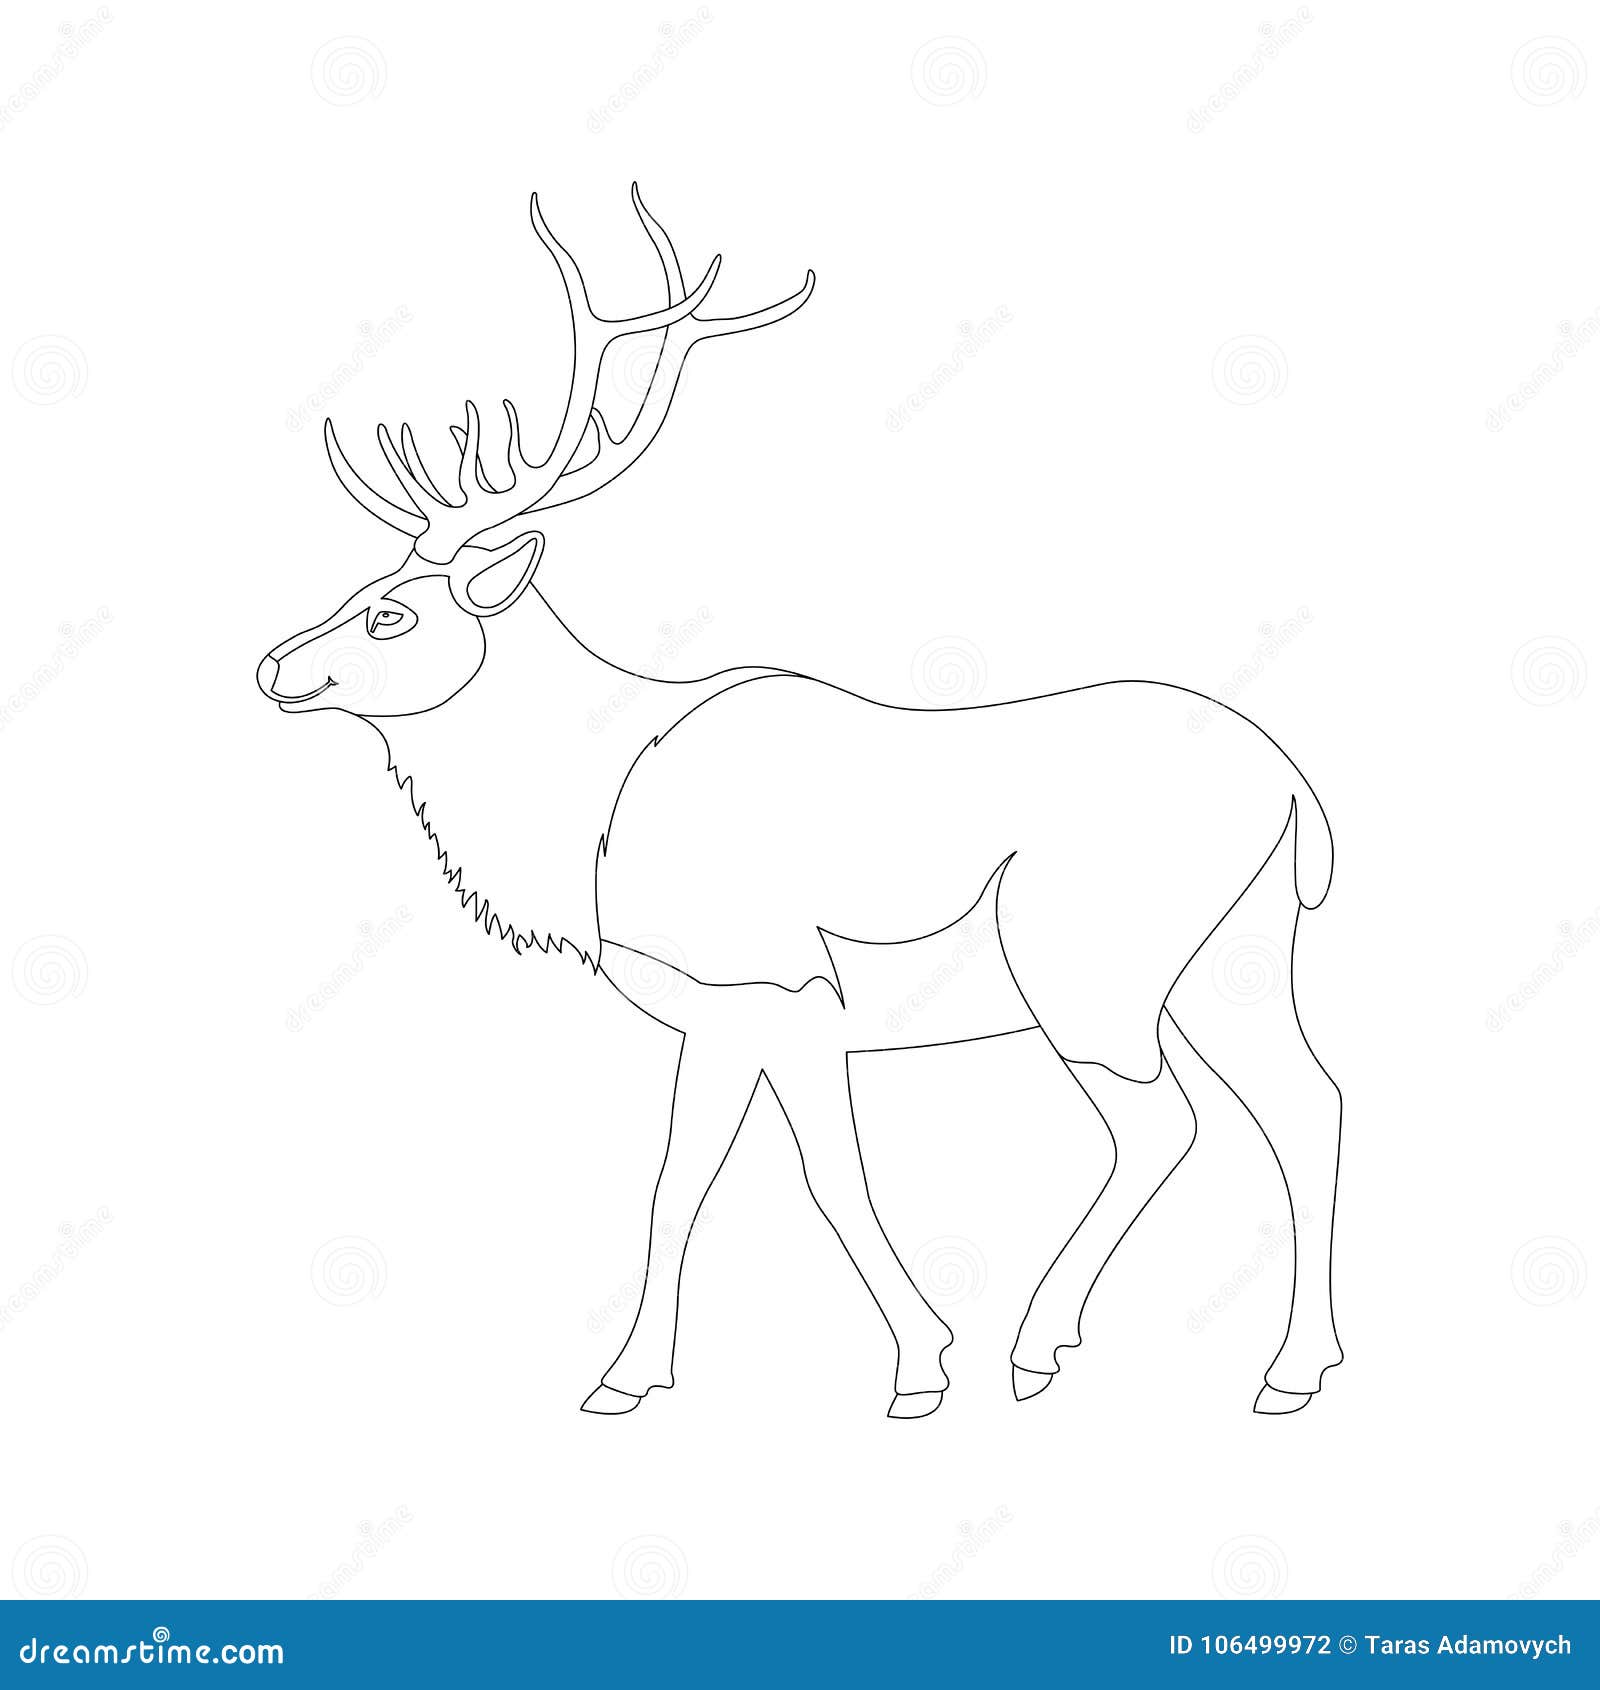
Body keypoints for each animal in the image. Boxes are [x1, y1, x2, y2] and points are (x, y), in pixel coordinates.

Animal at [257, 188, 1344, 1420]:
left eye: (393, 613)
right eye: (358, 588)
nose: (277, 668)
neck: (585, 826)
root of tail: (1298, 790)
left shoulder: (784, 985)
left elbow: (831, 1176)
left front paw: (923, 1365)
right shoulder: (711, 1014)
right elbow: (676, 1183)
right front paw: (627, 1378)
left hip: (1086, 964)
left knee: (1166, 1122)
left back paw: (1037, 1346)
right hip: (1228, 959)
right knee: (1307, 1102)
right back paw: (1291, 1368)